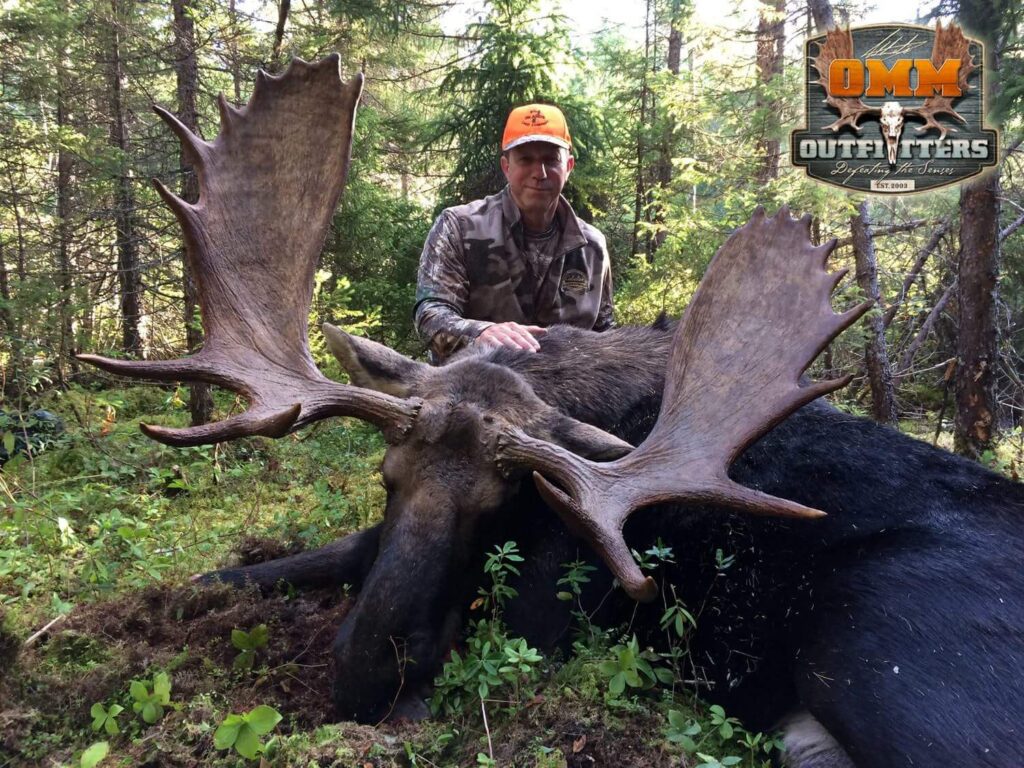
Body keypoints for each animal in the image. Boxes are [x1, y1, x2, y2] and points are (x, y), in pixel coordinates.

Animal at [79, 56, 1024, 768]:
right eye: (387, 477)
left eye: (502, 505)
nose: (363, 675)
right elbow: (238, 573)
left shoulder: (563, 603)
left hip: (883, 644)